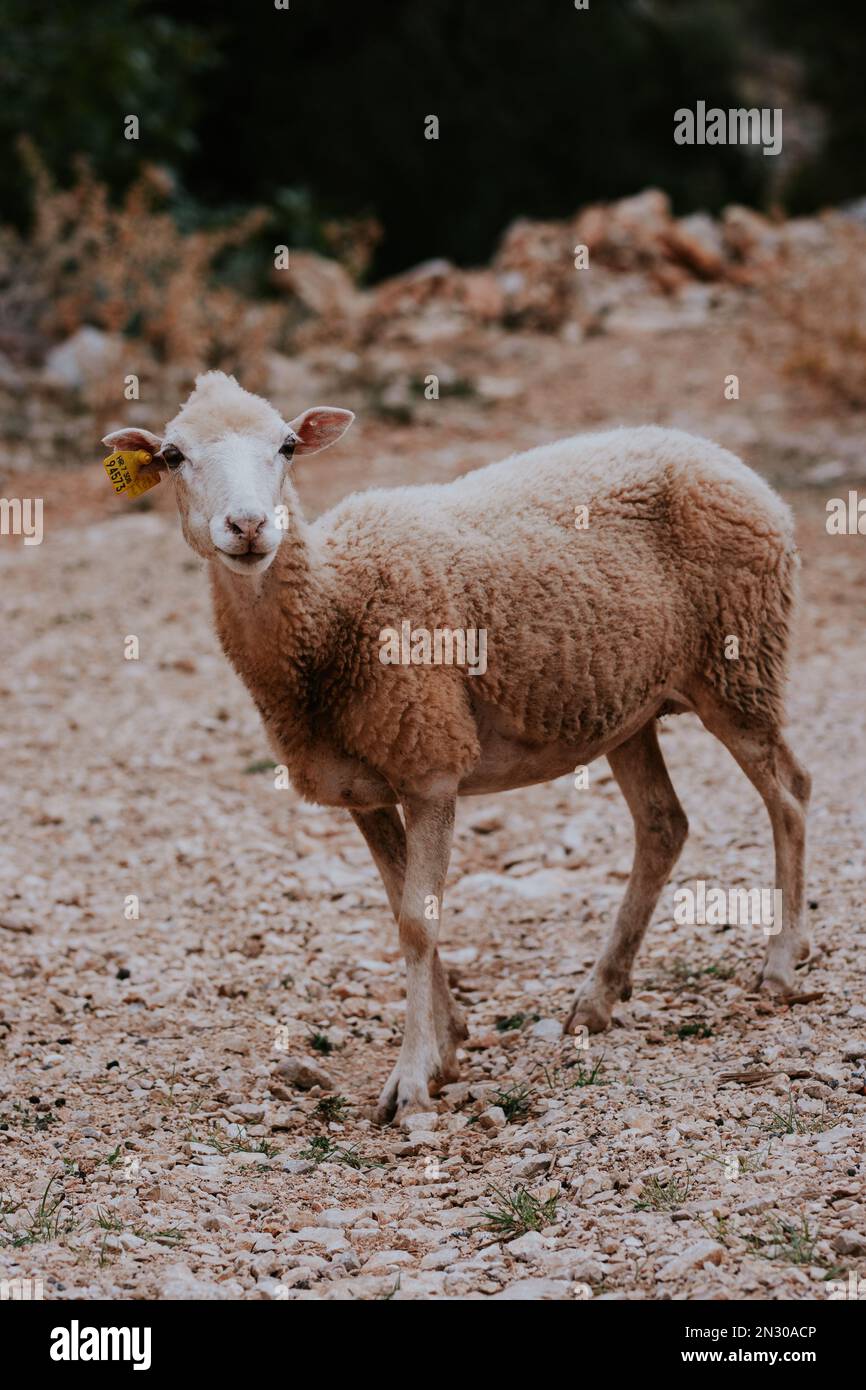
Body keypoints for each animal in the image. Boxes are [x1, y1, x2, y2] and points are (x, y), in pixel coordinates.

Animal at [104, 370, 811, 1122]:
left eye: (288, 445)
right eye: (173, 455)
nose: (246, 528)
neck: (333, 610)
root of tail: (725, 460)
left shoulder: (431, 766)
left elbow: (418, 922)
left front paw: (412, 1078)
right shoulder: (364, 791)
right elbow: (399, 907)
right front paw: (446, 1045)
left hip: (739, 663)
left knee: (789, 794)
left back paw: (780, 963)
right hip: (629, 707)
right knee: (663, 825)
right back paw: (598, 996)